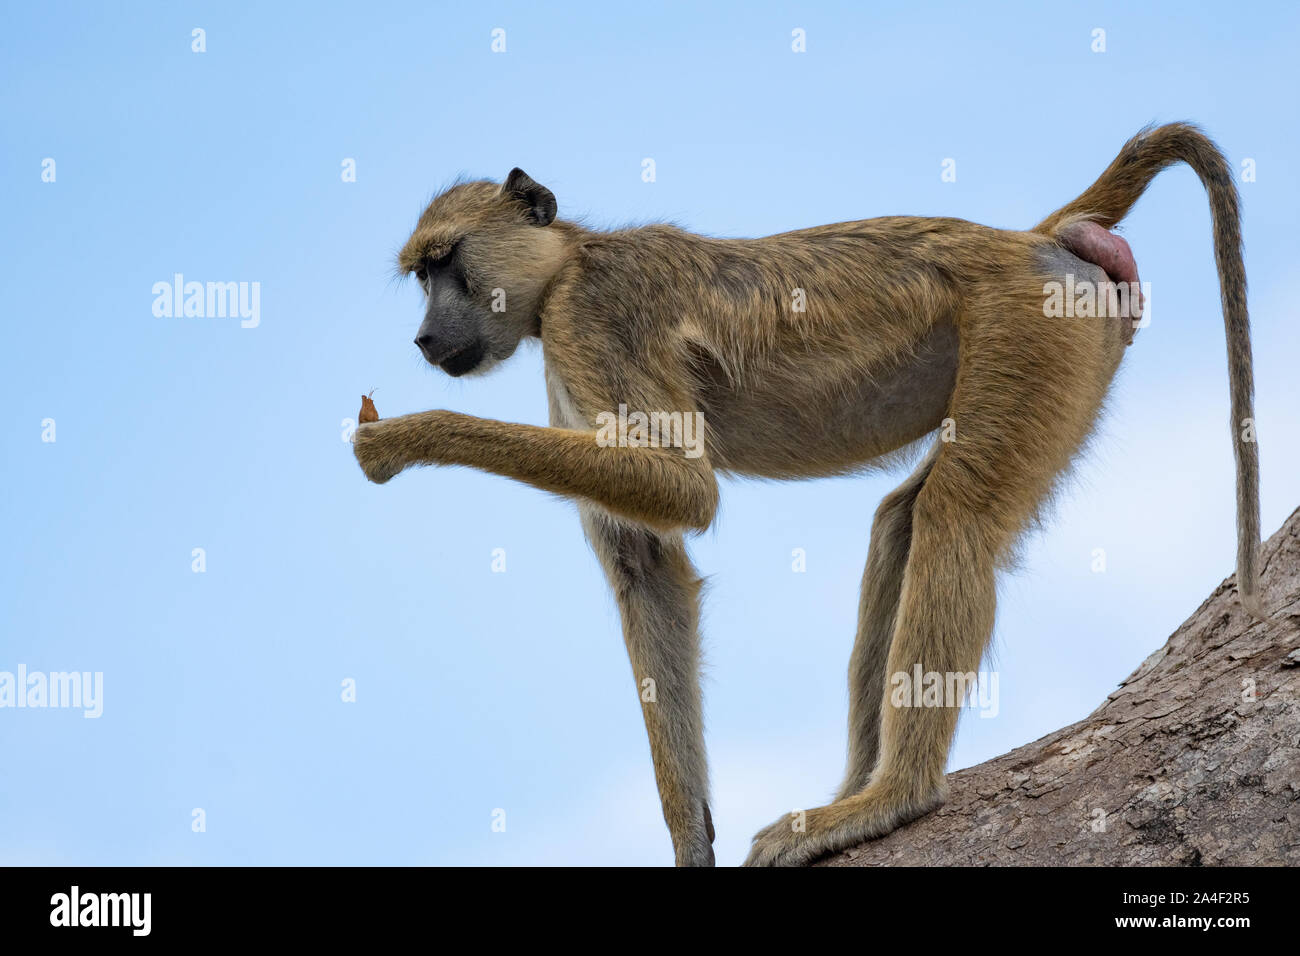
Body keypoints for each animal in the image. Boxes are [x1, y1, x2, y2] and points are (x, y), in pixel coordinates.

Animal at [353, 124, 1260, 866]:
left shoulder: (593, 317)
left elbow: (684, 490)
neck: (566, 263)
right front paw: (691, 846)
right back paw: (852, 792)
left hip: (1035, 326)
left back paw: (889, 801)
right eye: (422, 275)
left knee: (955, 519)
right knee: (903, 524)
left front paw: (407, 436)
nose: (425, 338)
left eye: (447, 263)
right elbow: (646, 567)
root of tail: (1022, 239)